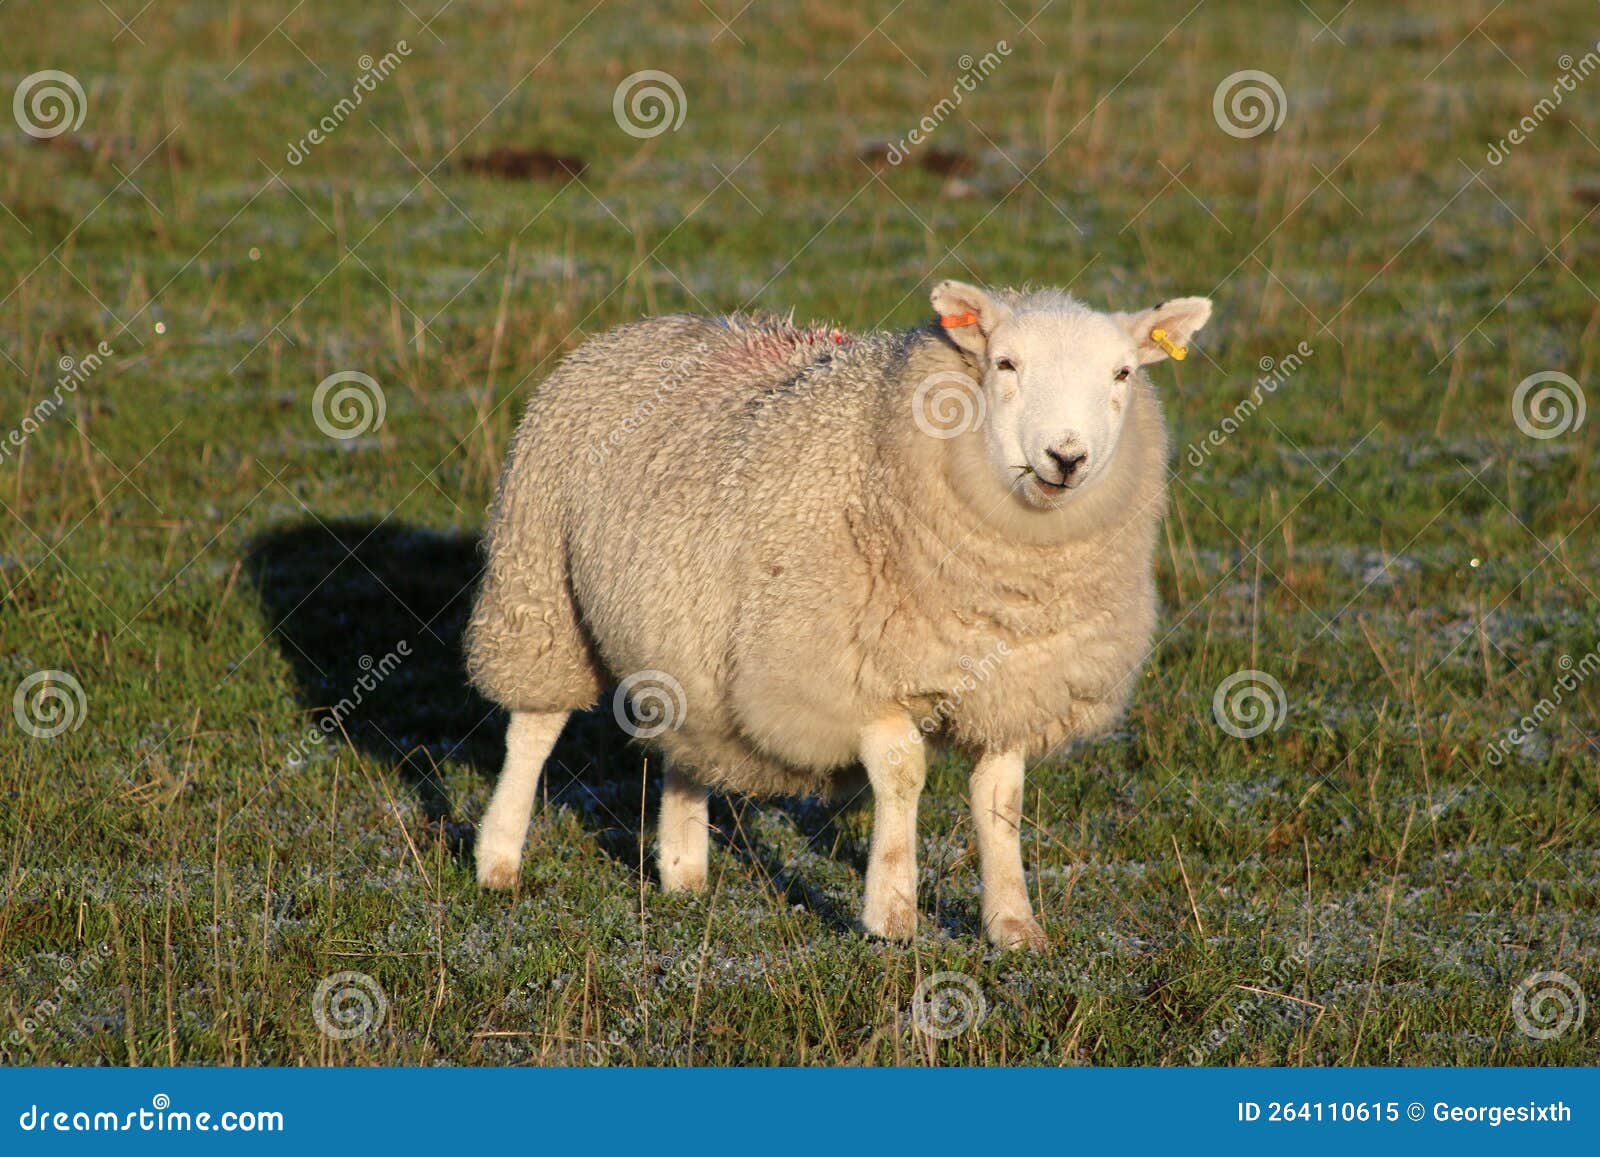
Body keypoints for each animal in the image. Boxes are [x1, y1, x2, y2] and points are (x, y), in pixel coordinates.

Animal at [466, 280, 1213, 949]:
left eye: (1122, 373)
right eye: (1005, 364)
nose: (1066, 457)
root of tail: (642, 326)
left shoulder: (1014, 687)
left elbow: (1000, 800)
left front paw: (1013, 926)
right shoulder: (853, 671)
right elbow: (904, 776)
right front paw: (892, 915)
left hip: (684, 632)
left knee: (688, 736)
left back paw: (682, 869)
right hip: (540, 587)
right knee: (534, 730)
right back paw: (498, 859)